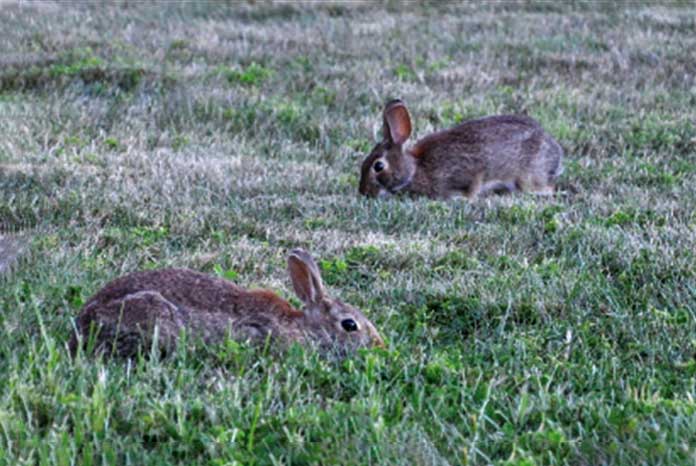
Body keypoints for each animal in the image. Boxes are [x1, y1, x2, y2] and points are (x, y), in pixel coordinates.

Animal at [359, 99, 564, 199]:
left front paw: (462, 199)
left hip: (527, 176)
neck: (415, 169)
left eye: (378, 166)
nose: (364, 193)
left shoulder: (470, 171)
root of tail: (554, 151)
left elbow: (473, 186)